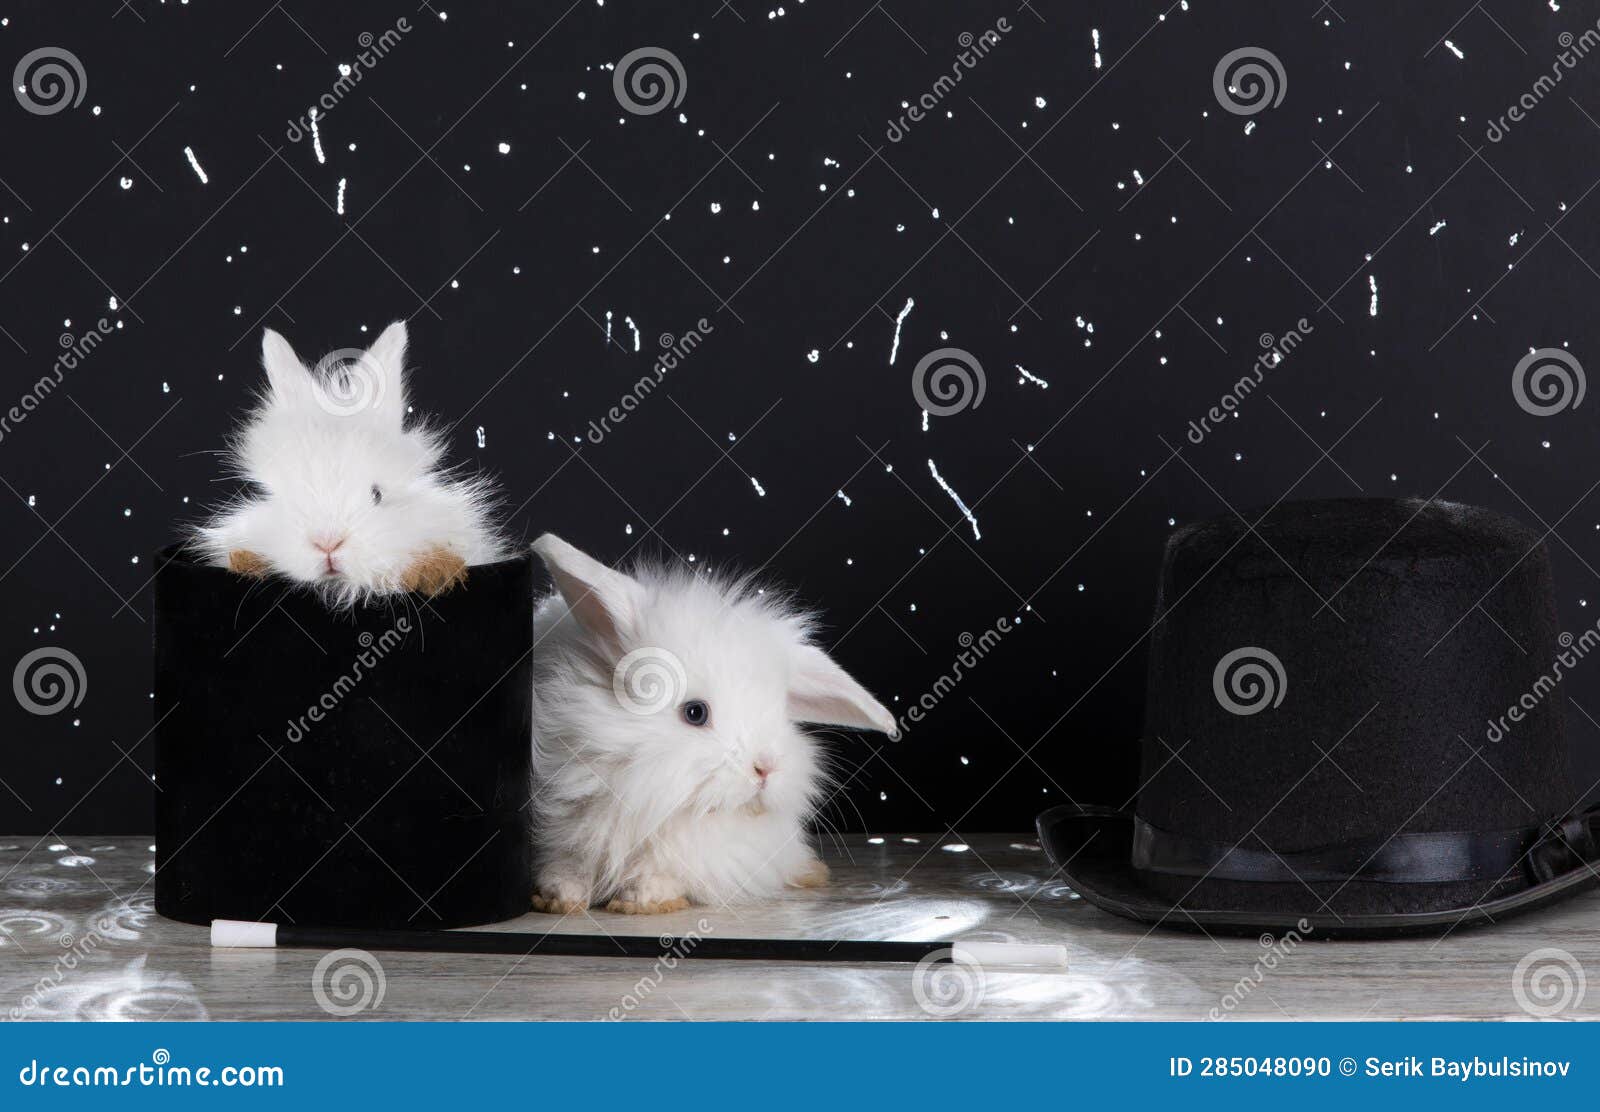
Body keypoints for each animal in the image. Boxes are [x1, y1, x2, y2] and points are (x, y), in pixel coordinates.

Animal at [527, 534, 898, 915]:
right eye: (696, 713)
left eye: (780, 711)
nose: (766, 768)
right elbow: (569, 863)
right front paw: (559, 896)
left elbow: (665, 868)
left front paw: (645, 898)